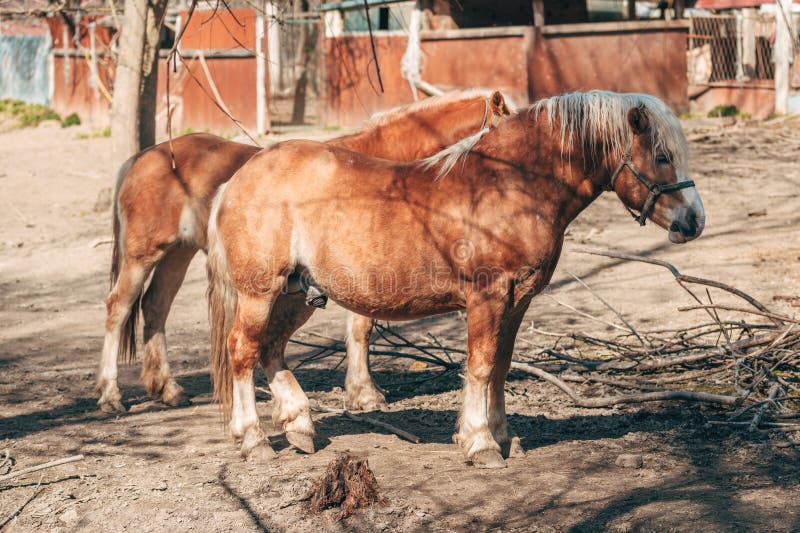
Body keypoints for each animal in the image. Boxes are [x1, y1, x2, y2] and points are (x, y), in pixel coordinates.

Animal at [98, 89, 514, 413]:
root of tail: (145, 157)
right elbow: (361, 328)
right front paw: (366, 394)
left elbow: (360, 327)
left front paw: (361, 391)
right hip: (142, 256)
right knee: (119, 308)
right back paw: (110, 395)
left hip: (177, 255)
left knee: (154, 308)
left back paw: (167, 389)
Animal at [207, 90, 705, 467]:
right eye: (662, 156)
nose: (694, 221)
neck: (512, 186)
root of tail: (239, 178)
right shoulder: (488, 297)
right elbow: (481, 365)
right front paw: (480, 442)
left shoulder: (518, 300)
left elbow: (501, 366)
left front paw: (503, 436)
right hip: (260, 292)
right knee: (242, 351)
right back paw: (253, 439)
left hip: (297, 294)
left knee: (271, 348)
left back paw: (299, 426)